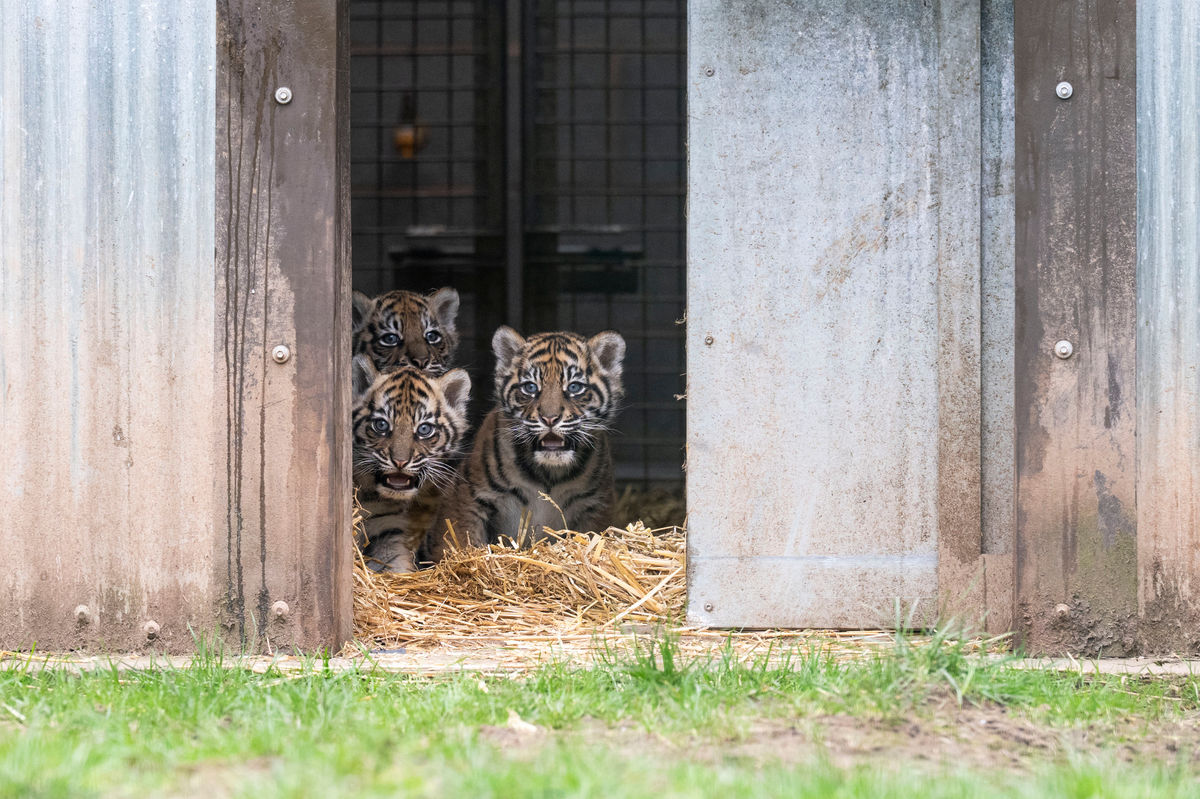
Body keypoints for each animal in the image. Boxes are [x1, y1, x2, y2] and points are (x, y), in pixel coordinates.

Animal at [428, 325, 626, 559]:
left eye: (574, 387)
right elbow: (457, 538)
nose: (549, 419)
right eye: (530, 388)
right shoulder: (468, 496)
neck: (549, 474)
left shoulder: (596, 506)